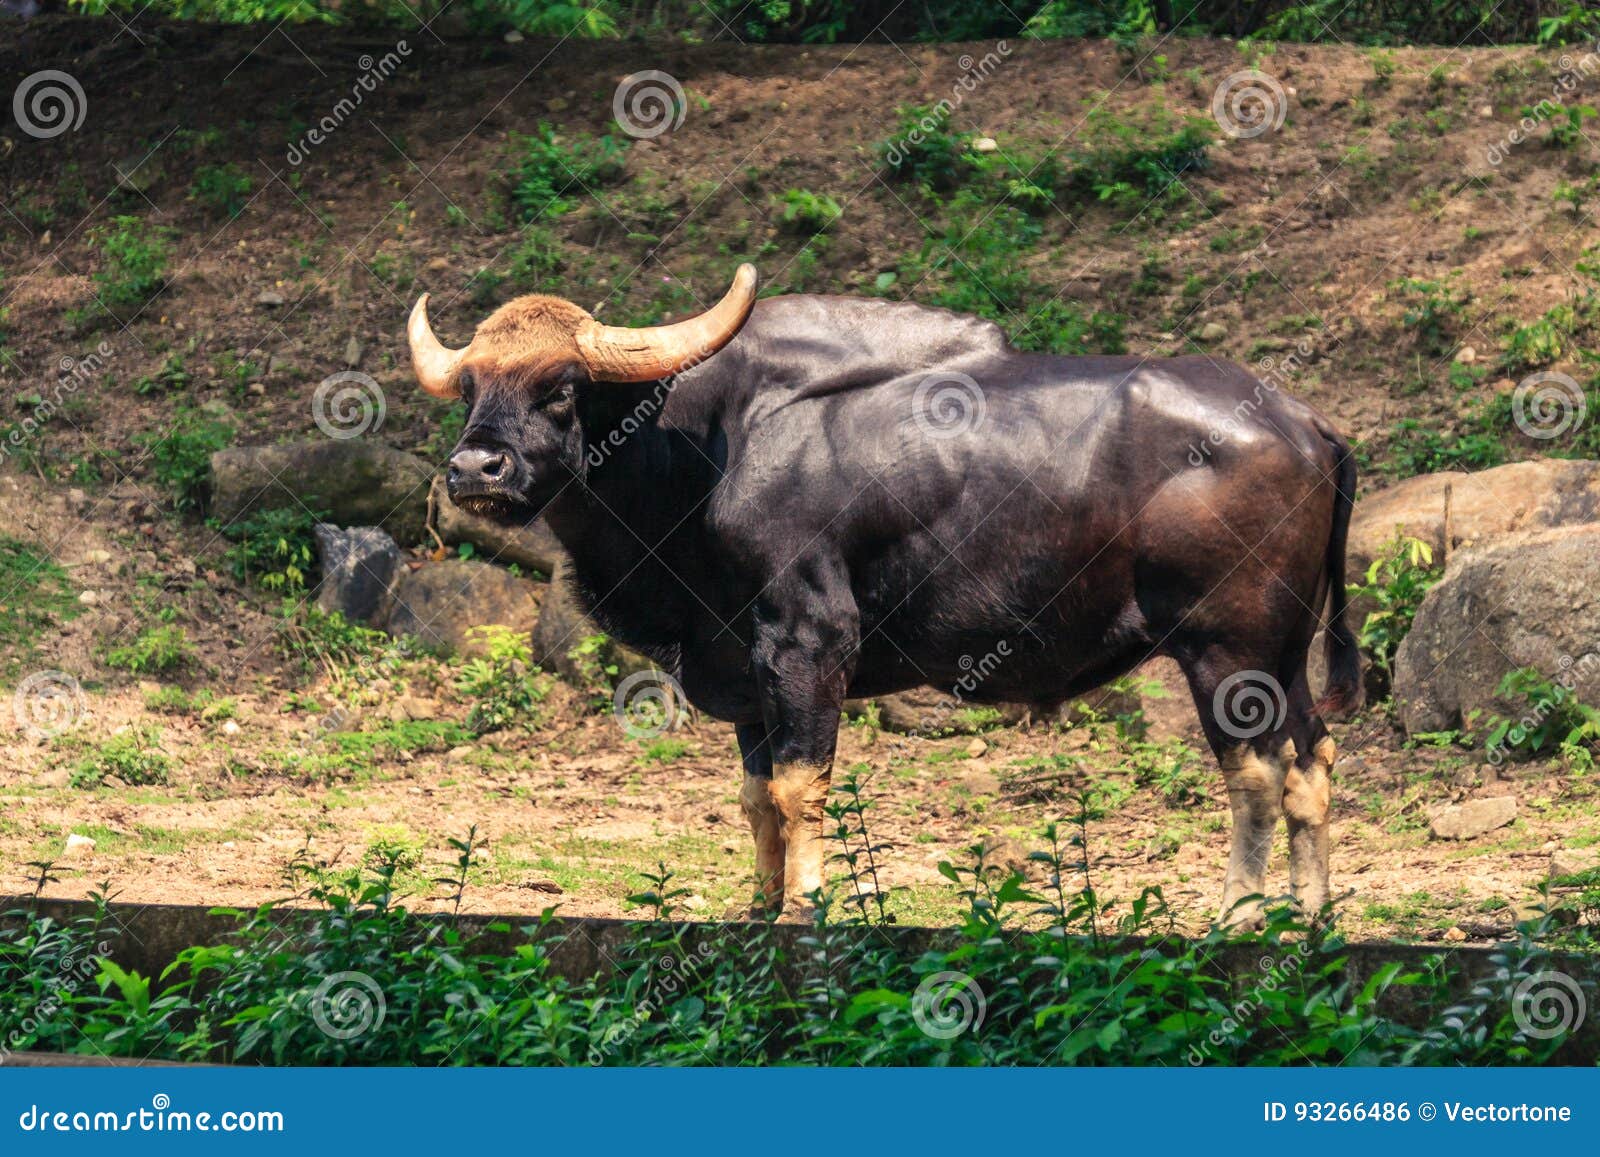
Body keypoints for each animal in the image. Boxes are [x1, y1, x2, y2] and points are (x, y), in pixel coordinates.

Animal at [408, 264, 1362, 926]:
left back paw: (1237, 914)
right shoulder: (746, 667)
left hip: (1225, 650)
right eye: (471, 388)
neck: (709, 447)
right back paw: (1309, 915)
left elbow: (800, 784)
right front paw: (758, 905)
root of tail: (1303, 421)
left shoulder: (807, 640)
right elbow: (756, 794)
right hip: (1285, 651)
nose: (474, 468)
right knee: (1313, 759)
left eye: (563, 387)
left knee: (1256, 771)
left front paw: (803, 905)